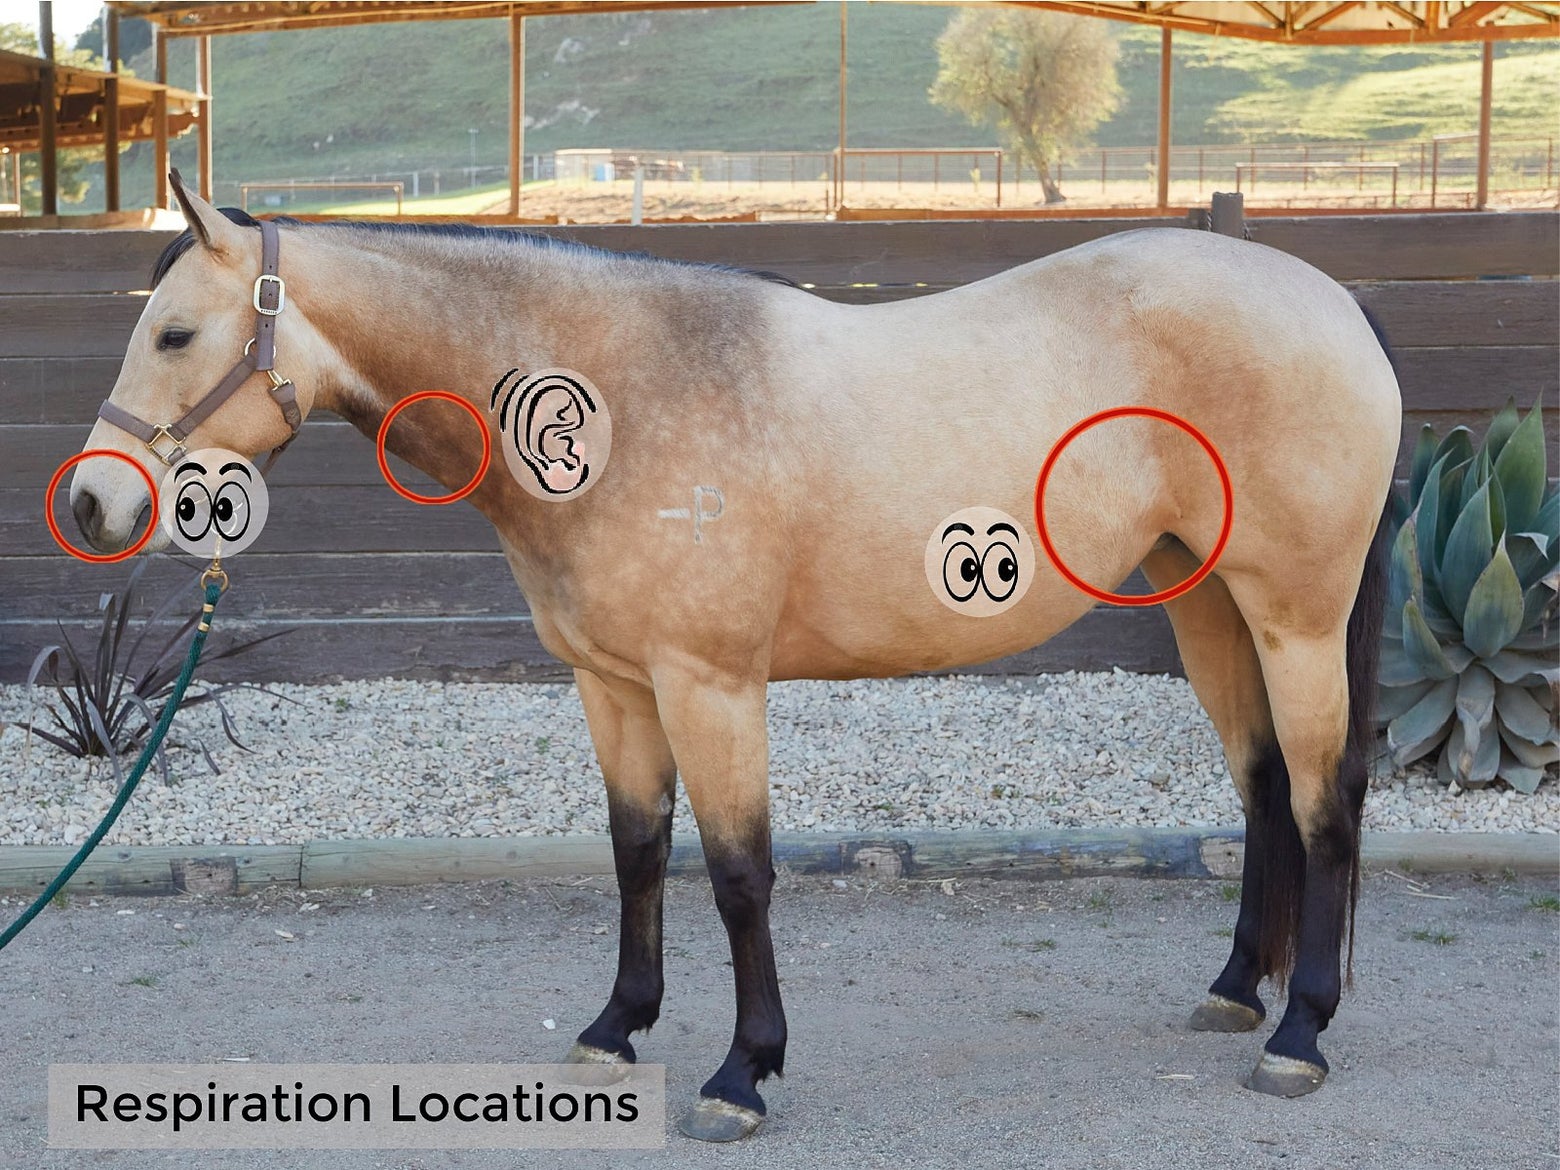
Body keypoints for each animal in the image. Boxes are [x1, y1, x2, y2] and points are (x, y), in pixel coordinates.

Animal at [70, 174, 1399, 1142]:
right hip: (1208, 607)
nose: (93, 504)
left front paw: (741, 1074)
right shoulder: (613, 686)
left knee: (1324, 802)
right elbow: (636, 852)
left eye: (176, 332)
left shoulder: (710, 686)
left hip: (1293, 616)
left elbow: (739, 874)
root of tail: (1335, 306)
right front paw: (616, 1026)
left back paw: (1301, 1037)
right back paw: (1238, 992)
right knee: (1265, 790)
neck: (621, 404)